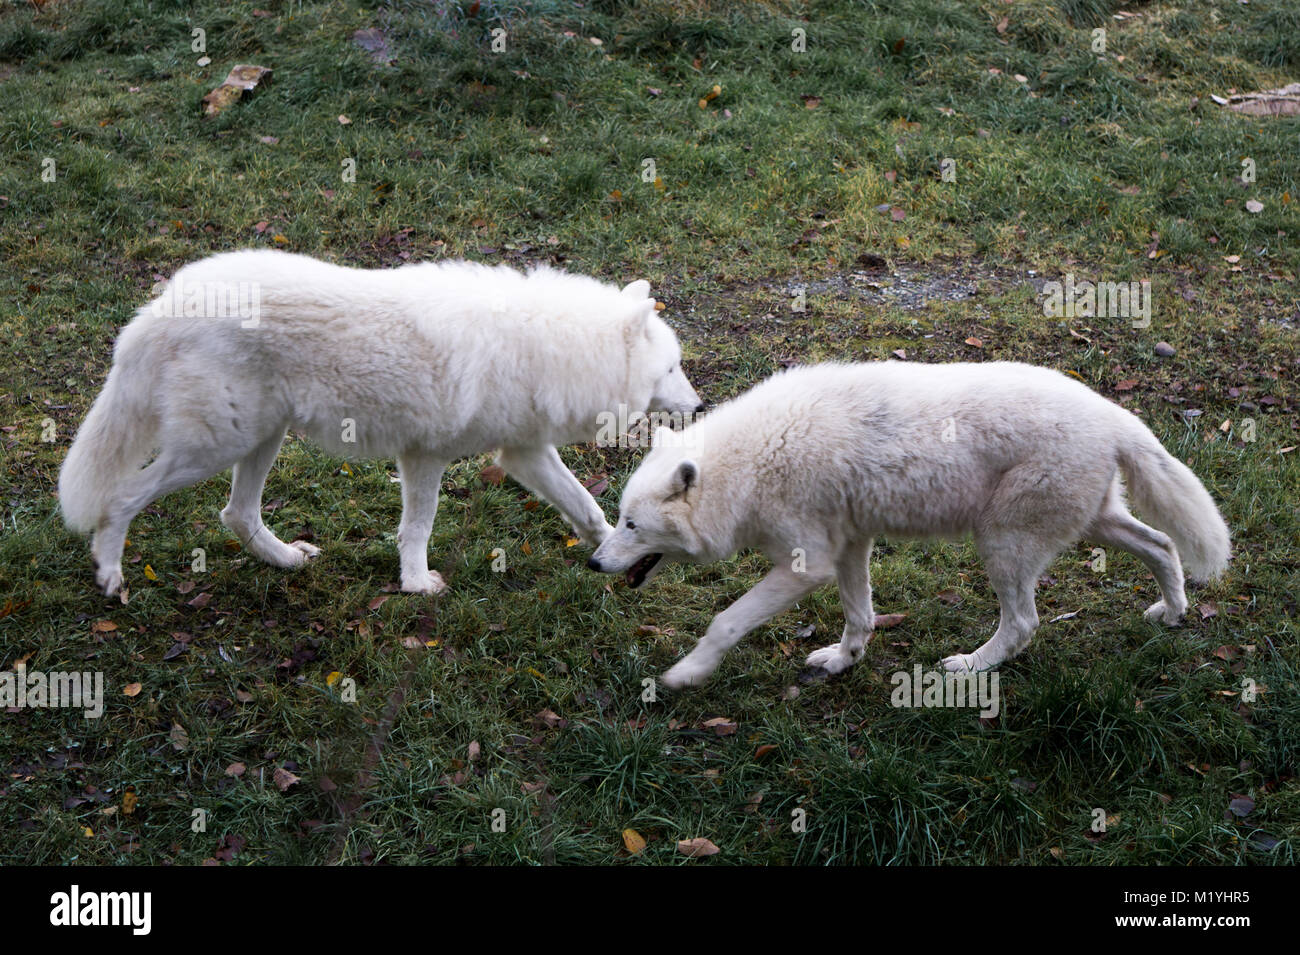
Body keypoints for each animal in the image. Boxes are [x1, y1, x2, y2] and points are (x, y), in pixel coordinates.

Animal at [59, 249, 703, 597]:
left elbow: (585, 507)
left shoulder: (523, 453)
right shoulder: (426, 456)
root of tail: (163, 305)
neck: (544, 343)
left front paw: (617, 552)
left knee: (235, 515)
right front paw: (417, 586)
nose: (699, 408)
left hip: (261, 439)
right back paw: (110, 572)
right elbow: (417, 528)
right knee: (121, 498)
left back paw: (287, 561)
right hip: (212, 450)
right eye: (673, 367)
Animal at [588, 361, 1231, 688]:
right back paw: (1172, 613)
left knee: (1024, 623)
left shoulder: (805, 566)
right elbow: (860, 615)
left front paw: (686, 674)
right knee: (1163, 544)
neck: (750, 462)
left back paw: (970, 667)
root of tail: (1116, 414)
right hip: (1094, 525)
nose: (593, 561)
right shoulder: (849, 547)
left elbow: (724, 621)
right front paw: (843, 662)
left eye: (631, 525)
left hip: (1001, 545)